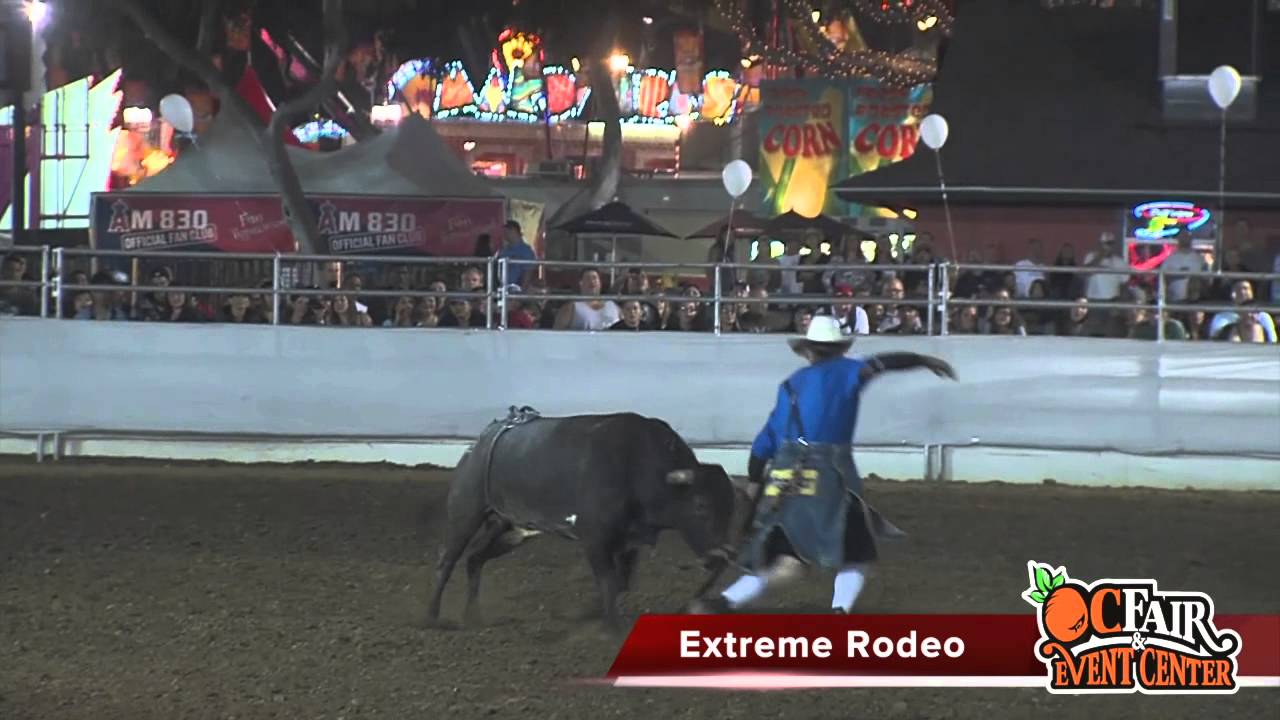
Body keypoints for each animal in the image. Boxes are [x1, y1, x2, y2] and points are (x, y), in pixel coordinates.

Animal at [425, 407, 740, 632]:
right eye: (700, 505)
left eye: (730, 509)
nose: (720, 557)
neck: (636, 463)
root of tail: (484, 439)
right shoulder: (594, 539)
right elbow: (609, 581)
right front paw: (611, 627)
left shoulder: (628, 541)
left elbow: (621, 582)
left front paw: (592, 613)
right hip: (465, 514)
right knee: (447, 562)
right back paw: (431, 616)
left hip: (511, 530)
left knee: (474, 560)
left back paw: (473, 616)